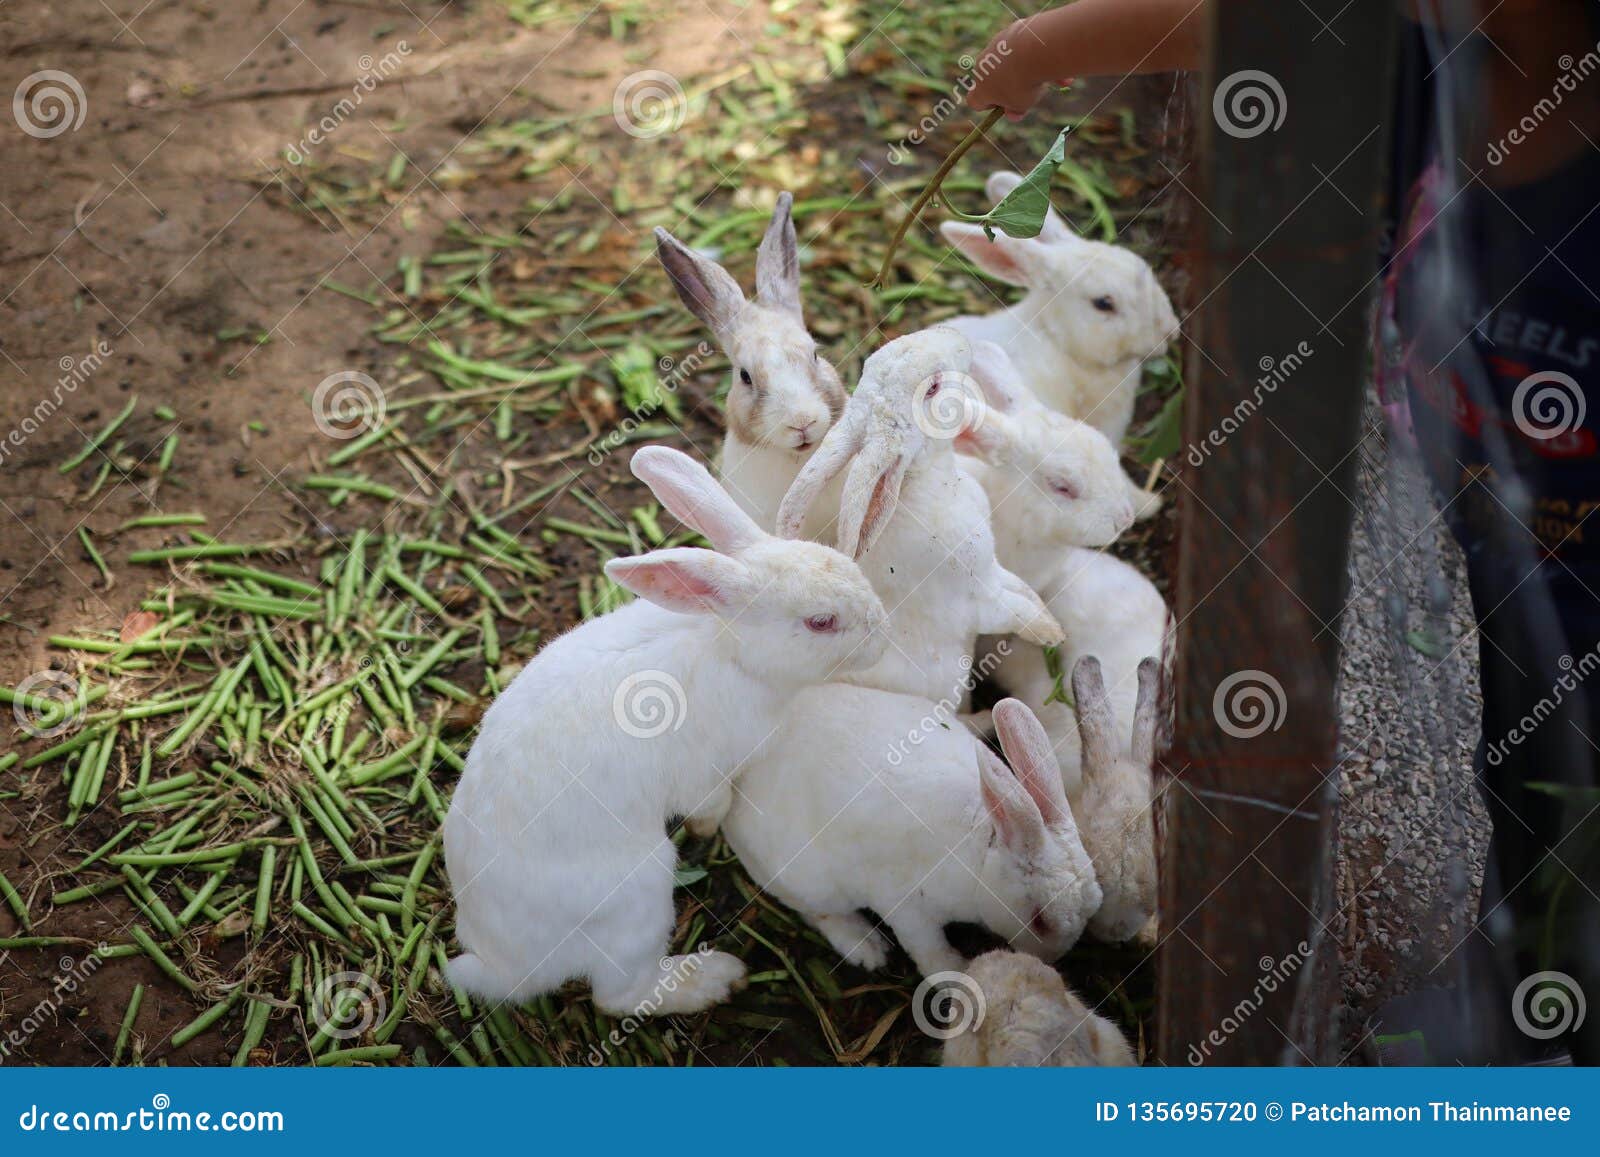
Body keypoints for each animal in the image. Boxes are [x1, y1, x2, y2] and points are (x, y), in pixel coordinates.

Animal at [443, 445, 888, 1017]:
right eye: (820, 622)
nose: (882, 634)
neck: (727, 648)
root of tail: (501, 965)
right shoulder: (704, 769)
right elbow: (710, 803)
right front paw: (708, 829)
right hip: (640, 897)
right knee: (618, 998)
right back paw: (715, 978)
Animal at [722, 695, 1101, 979]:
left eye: (1096, 902)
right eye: (1040, 920)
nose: (1053, 959)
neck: (981, 852)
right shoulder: (907, 908)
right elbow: (930, 952)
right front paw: (959, 973)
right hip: (806, 882)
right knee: (819, 914)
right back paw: (867, 948)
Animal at [776, 326, 1063, 707]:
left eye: (868, 364)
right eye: (933, 388)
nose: (954, 333)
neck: (928, 482)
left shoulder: (994, 570)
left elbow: (1021, 590)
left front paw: (1047, 615)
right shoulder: (980, 600)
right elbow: (1016, 612)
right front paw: (1053, 634)